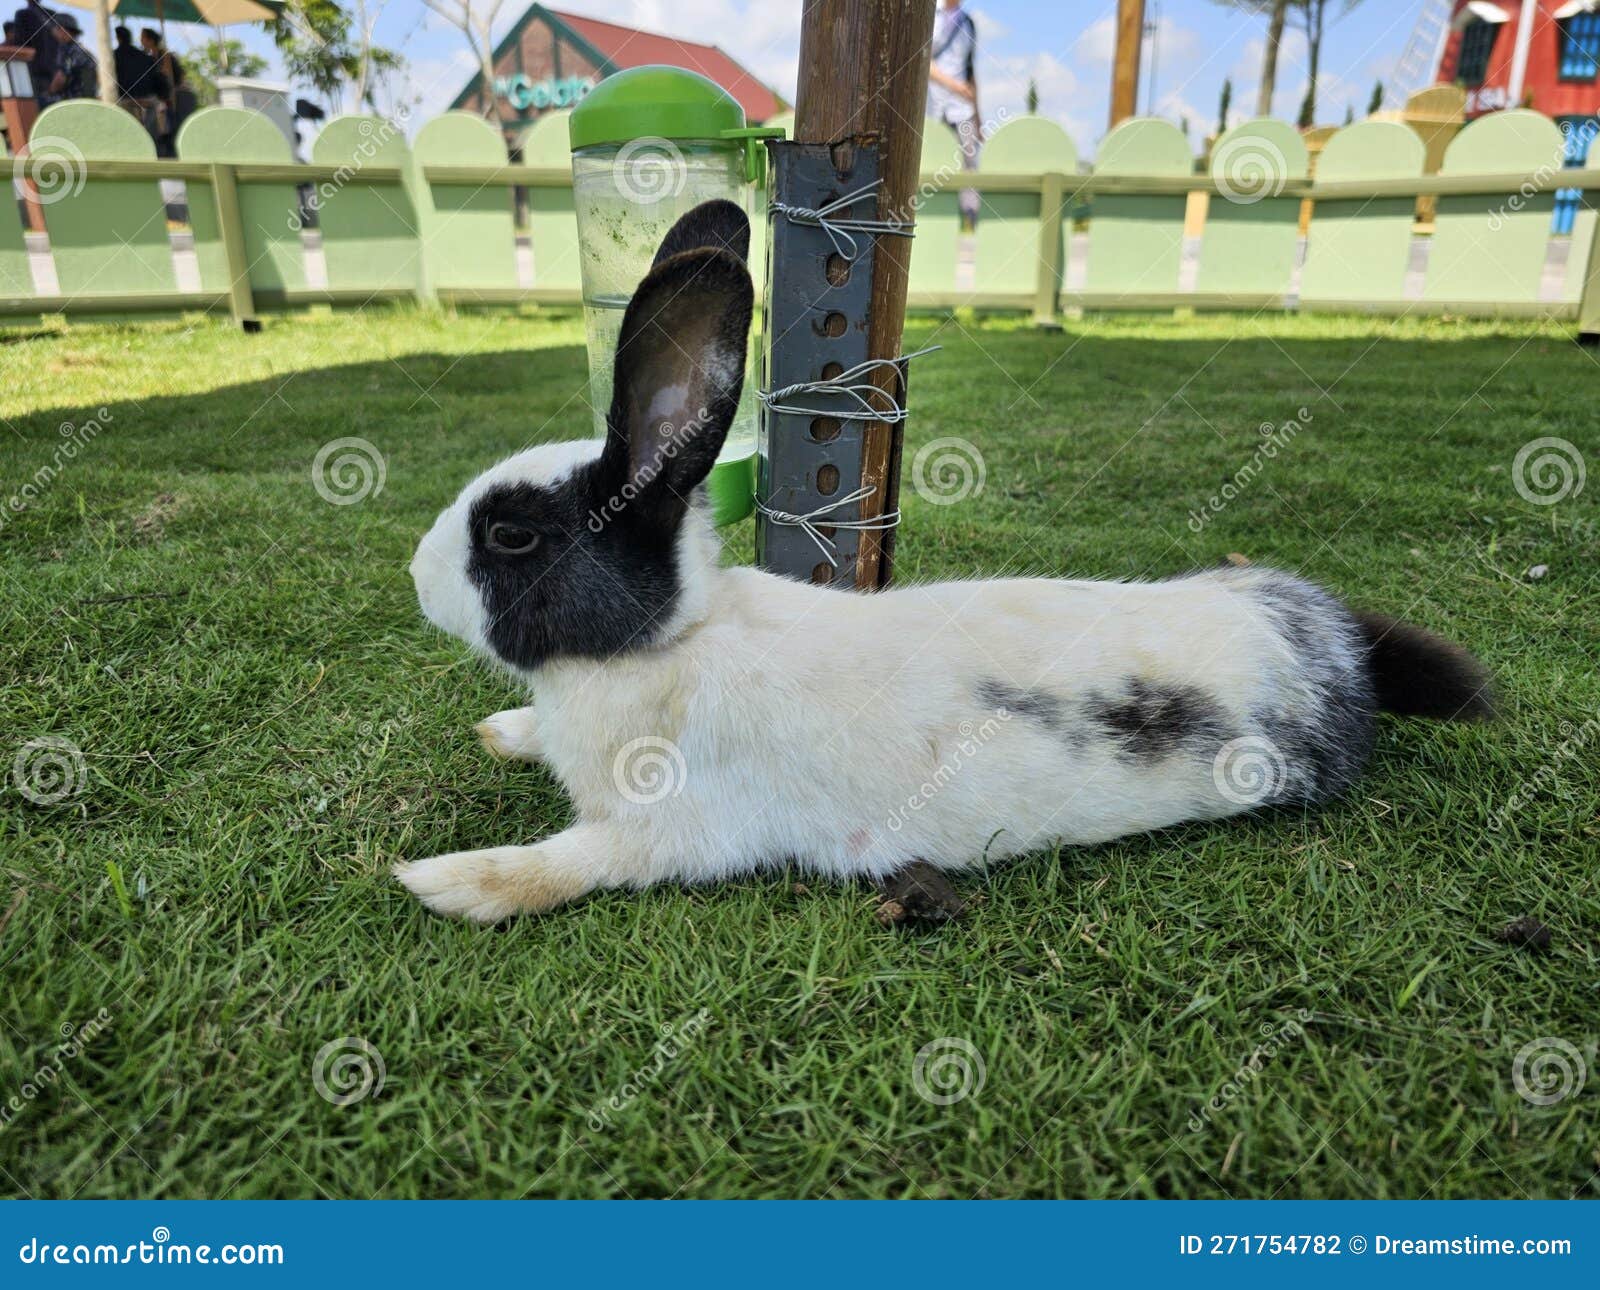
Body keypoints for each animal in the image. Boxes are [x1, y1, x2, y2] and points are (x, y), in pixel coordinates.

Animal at [395, 200, 1493, 924]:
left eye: (511, 537)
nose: (414, 576)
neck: (668, 646)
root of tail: (1332, 644)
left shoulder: (670, 829)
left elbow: (567, 862)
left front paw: (446, 882)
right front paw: (505, 734)